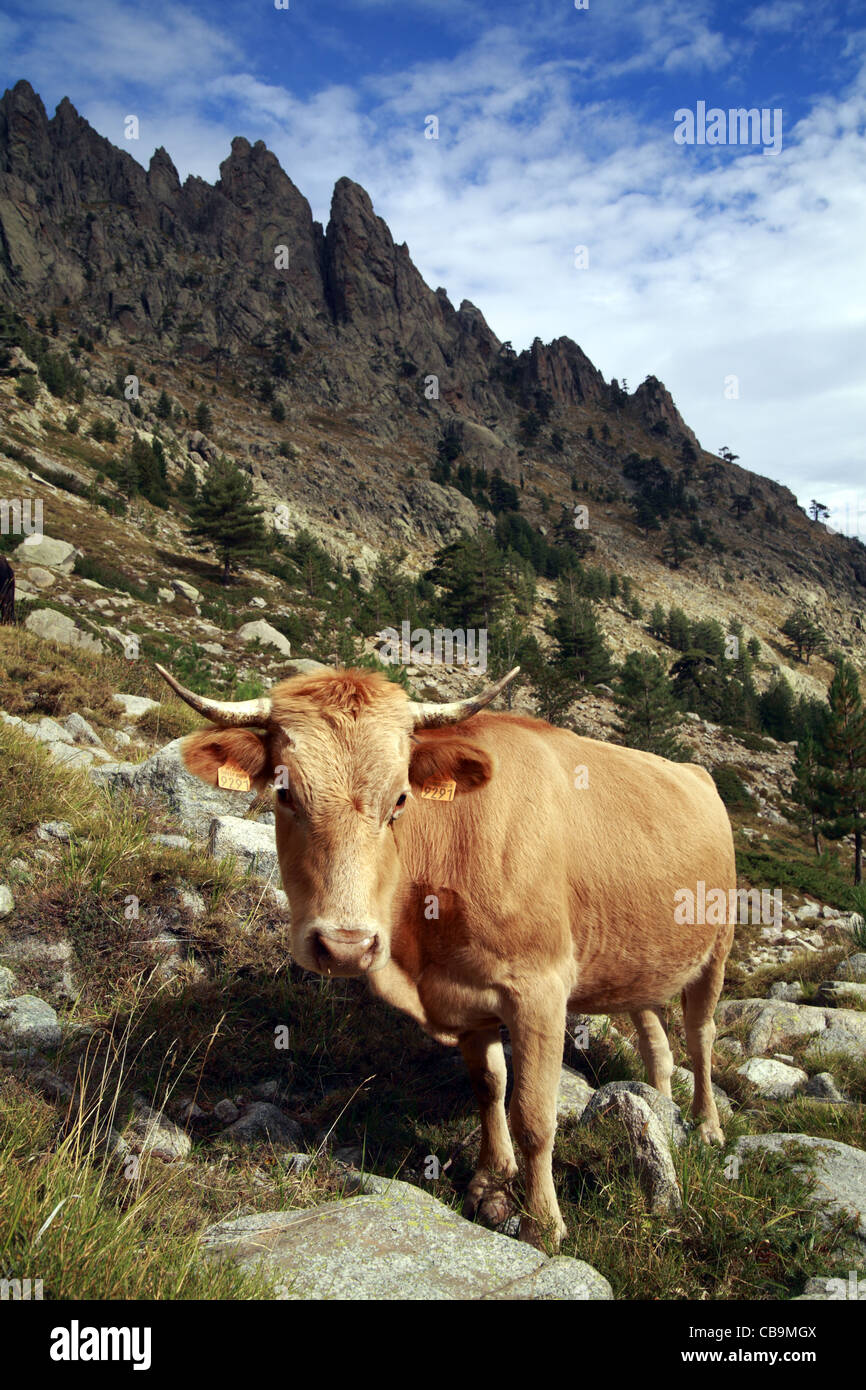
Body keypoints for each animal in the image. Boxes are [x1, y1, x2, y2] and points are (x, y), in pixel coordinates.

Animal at [155, 661, 736, 1249]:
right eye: (283, 791)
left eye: (400, 800)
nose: (345, 946)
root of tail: (697, 774)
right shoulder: (464, 992)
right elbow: (490, 1086)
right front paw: (489, 1180)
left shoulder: (540, 990)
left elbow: (533, 1115)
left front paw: (542, 1224)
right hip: (639, 959)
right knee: (656, 1040)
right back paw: (659, 1103)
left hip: (718, 947)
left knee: (701, 1036)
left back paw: (707, 1125)